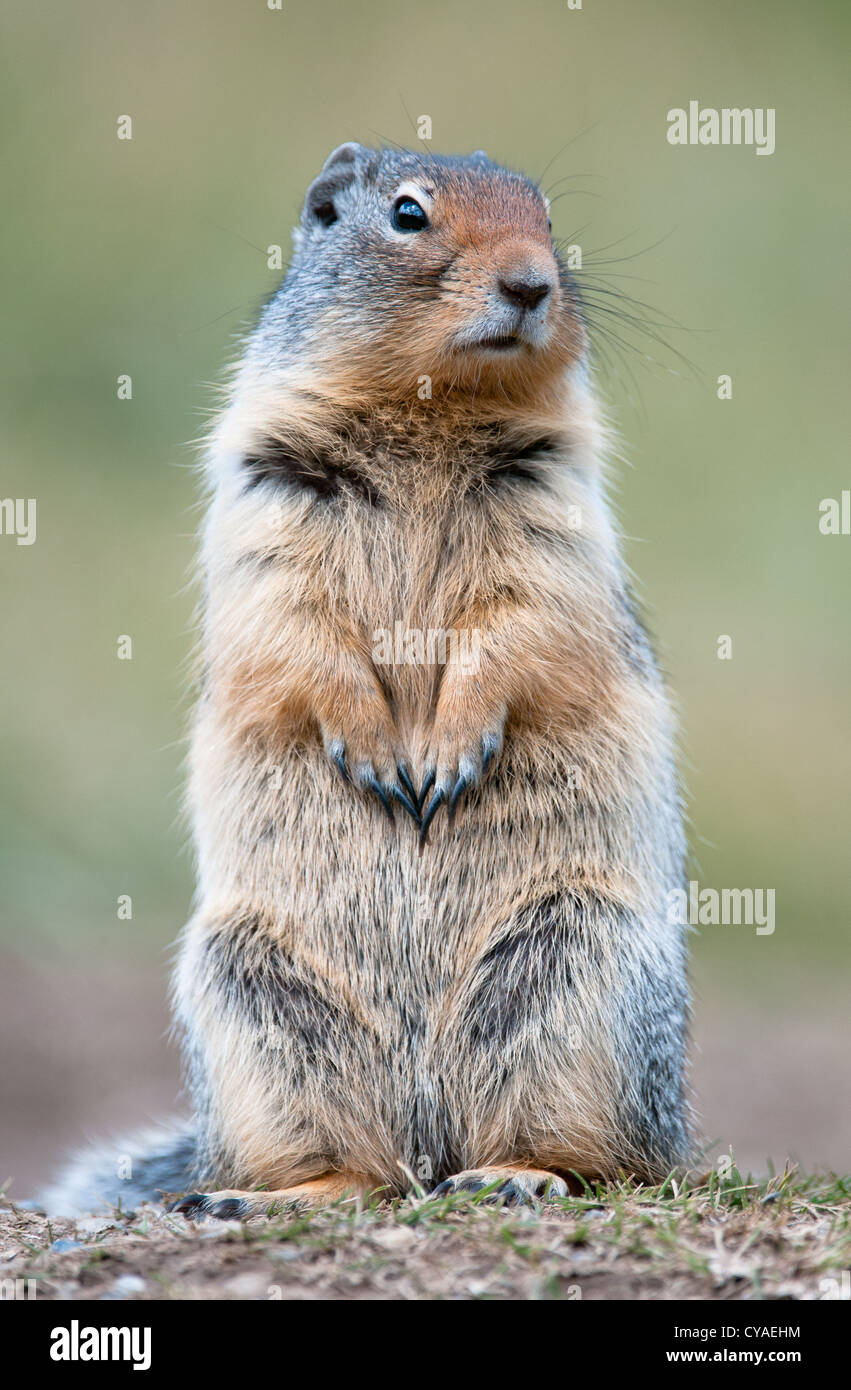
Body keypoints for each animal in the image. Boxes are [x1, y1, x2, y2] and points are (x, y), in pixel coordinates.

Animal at [43, 143, 690, 1218]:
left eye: (546, 218)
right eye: (406, 215)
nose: (532, 282)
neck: (429, 407)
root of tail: (430, 1142)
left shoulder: (551, 505)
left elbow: (520, 623)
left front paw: (448, 748)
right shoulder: (267, 496)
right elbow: (297, 629)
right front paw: (383, 754)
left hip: (582, 971)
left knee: (607, 1160)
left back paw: (514, 1174)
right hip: (252, 999)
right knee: (360, 1167)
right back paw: (269, 1194)